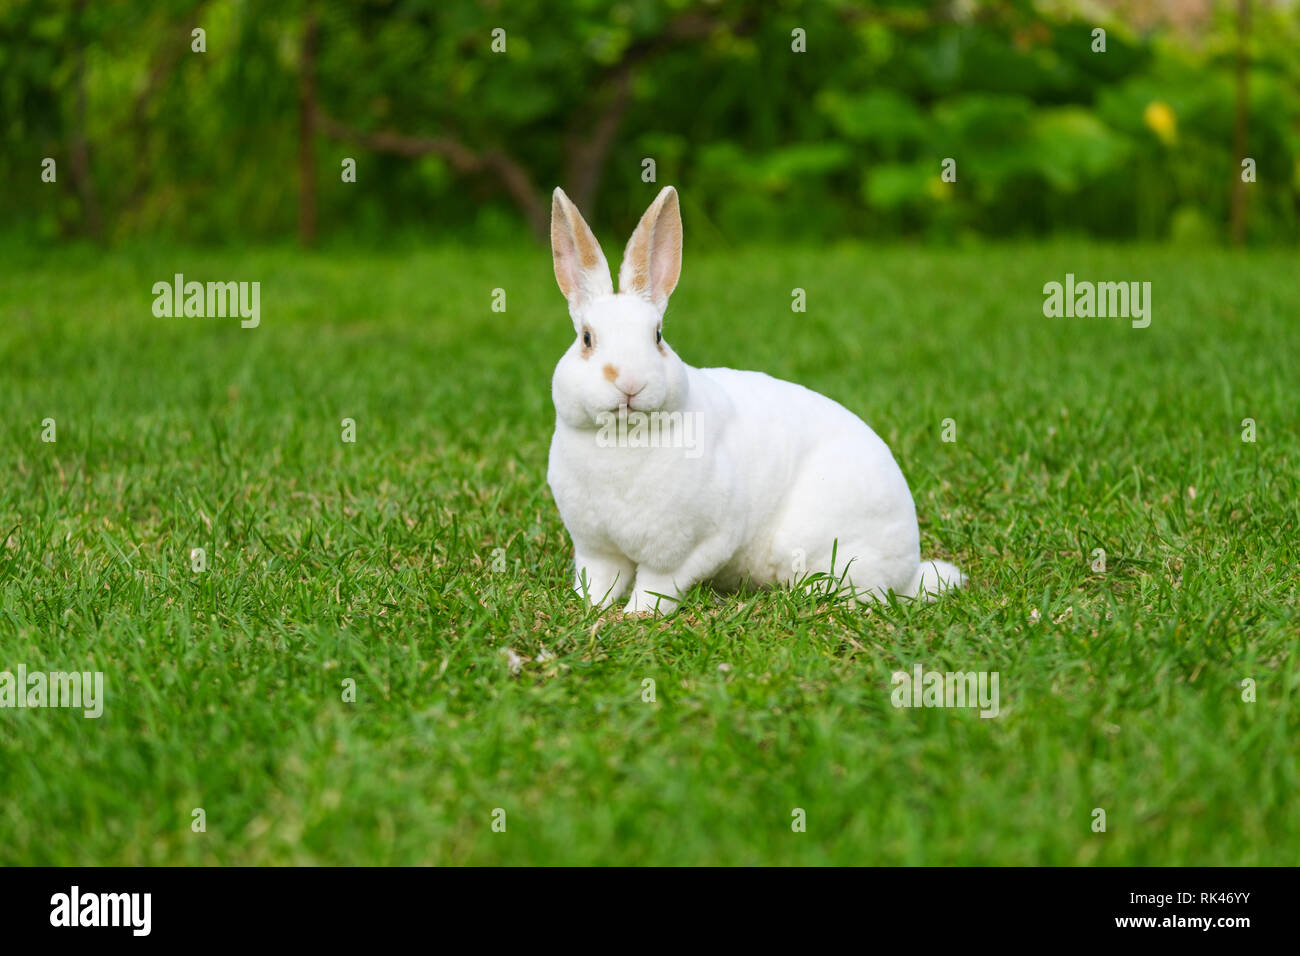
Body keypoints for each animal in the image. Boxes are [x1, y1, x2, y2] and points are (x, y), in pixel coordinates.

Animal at [546, 185, 965, 615]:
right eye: (587, 339)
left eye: (658, 336)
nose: (629, 383)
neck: (620, 438)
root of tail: (910, 569)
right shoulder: (596, 549)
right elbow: (600, 580)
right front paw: (590, 608)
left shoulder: (693, 545)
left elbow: (656, 585)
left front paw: (635, 616)